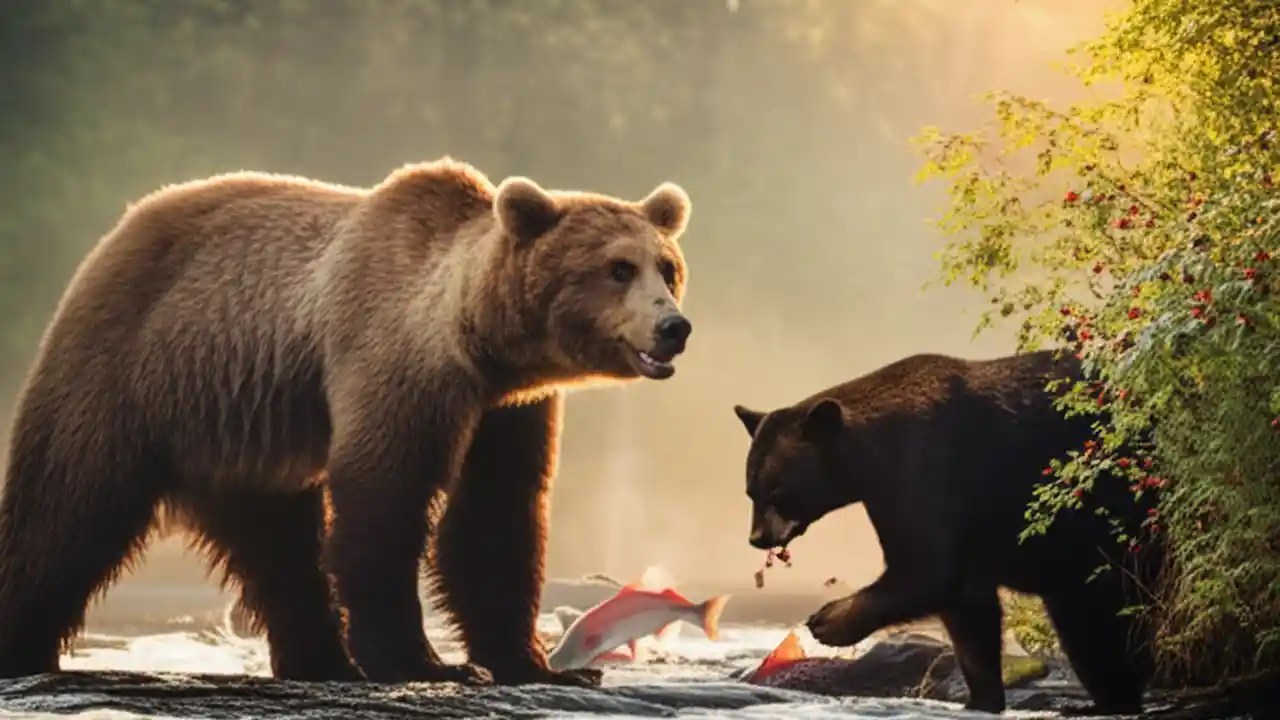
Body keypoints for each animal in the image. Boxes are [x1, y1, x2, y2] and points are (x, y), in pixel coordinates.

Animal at [0, 158, 693, 687]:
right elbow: (384, 501)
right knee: (67, 507)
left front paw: (538, 664)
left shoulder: (508, 410)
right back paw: (24, 643)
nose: (674, 326)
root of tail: (118, 230)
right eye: (618, 268)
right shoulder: (394, 362)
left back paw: (321, 661)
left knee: (278, 552)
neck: (477, 342)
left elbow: (496, 518)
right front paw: (431, 663)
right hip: (130, 368)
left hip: (247, 436)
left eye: (668, 266)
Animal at [732, 351, 1159, 714]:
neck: (874, 452)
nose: (758, 537)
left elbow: (927, 570)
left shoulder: (930, 469)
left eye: (778, 491)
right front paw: (982, 697)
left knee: (1096, 623)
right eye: (751, 490)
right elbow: (967, 605)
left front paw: (828, 619)